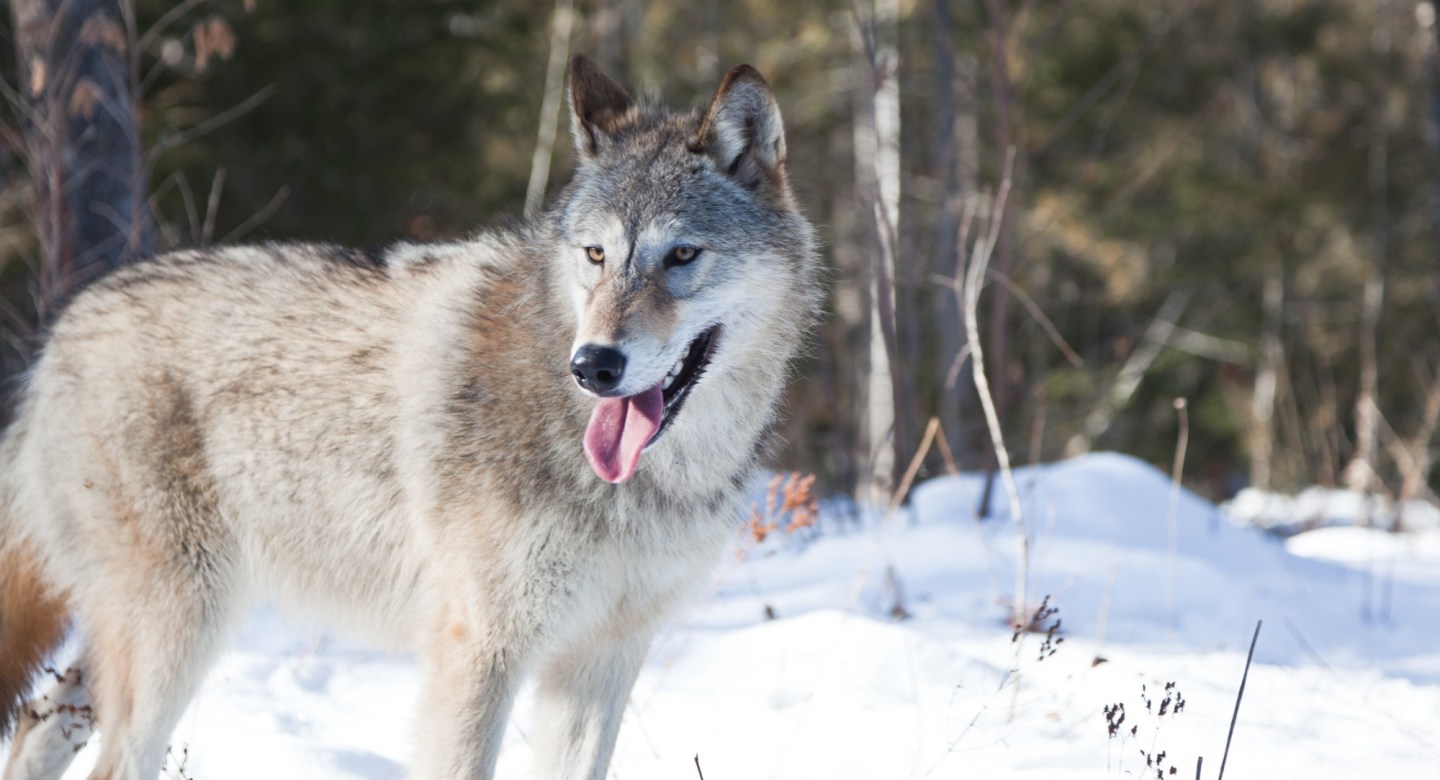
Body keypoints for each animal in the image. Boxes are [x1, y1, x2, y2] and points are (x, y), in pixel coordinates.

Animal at [0, 55, 818, 780]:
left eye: (681, 255)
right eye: (595, 254)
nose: (594, 365)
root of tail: (62, 332)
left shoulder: (602, 657)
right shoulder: (479, 650)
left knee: (36, 729)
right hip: (178, 635)